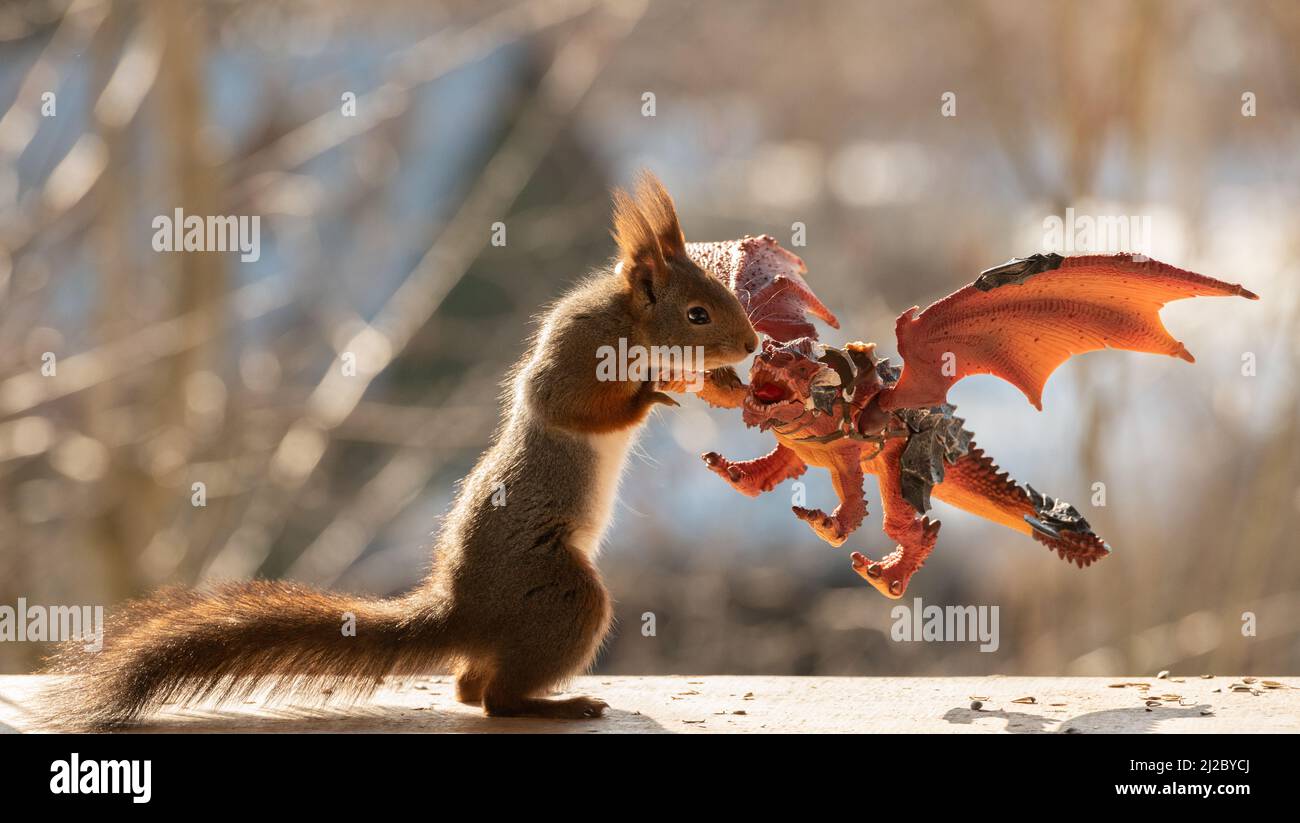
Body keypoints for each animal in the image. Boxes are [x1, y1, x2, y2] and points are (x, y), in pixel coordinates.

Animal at [40, 172, 758, 727]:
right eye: (697, 313)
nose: (751, 344)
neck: (628, 320)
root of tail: (465, 610)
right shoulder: (578, 350)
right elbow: (570, 405)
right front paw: (655, 391)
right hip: (562, 595)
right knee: (492, 698)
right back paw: (559, 703)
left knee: (471, 688)